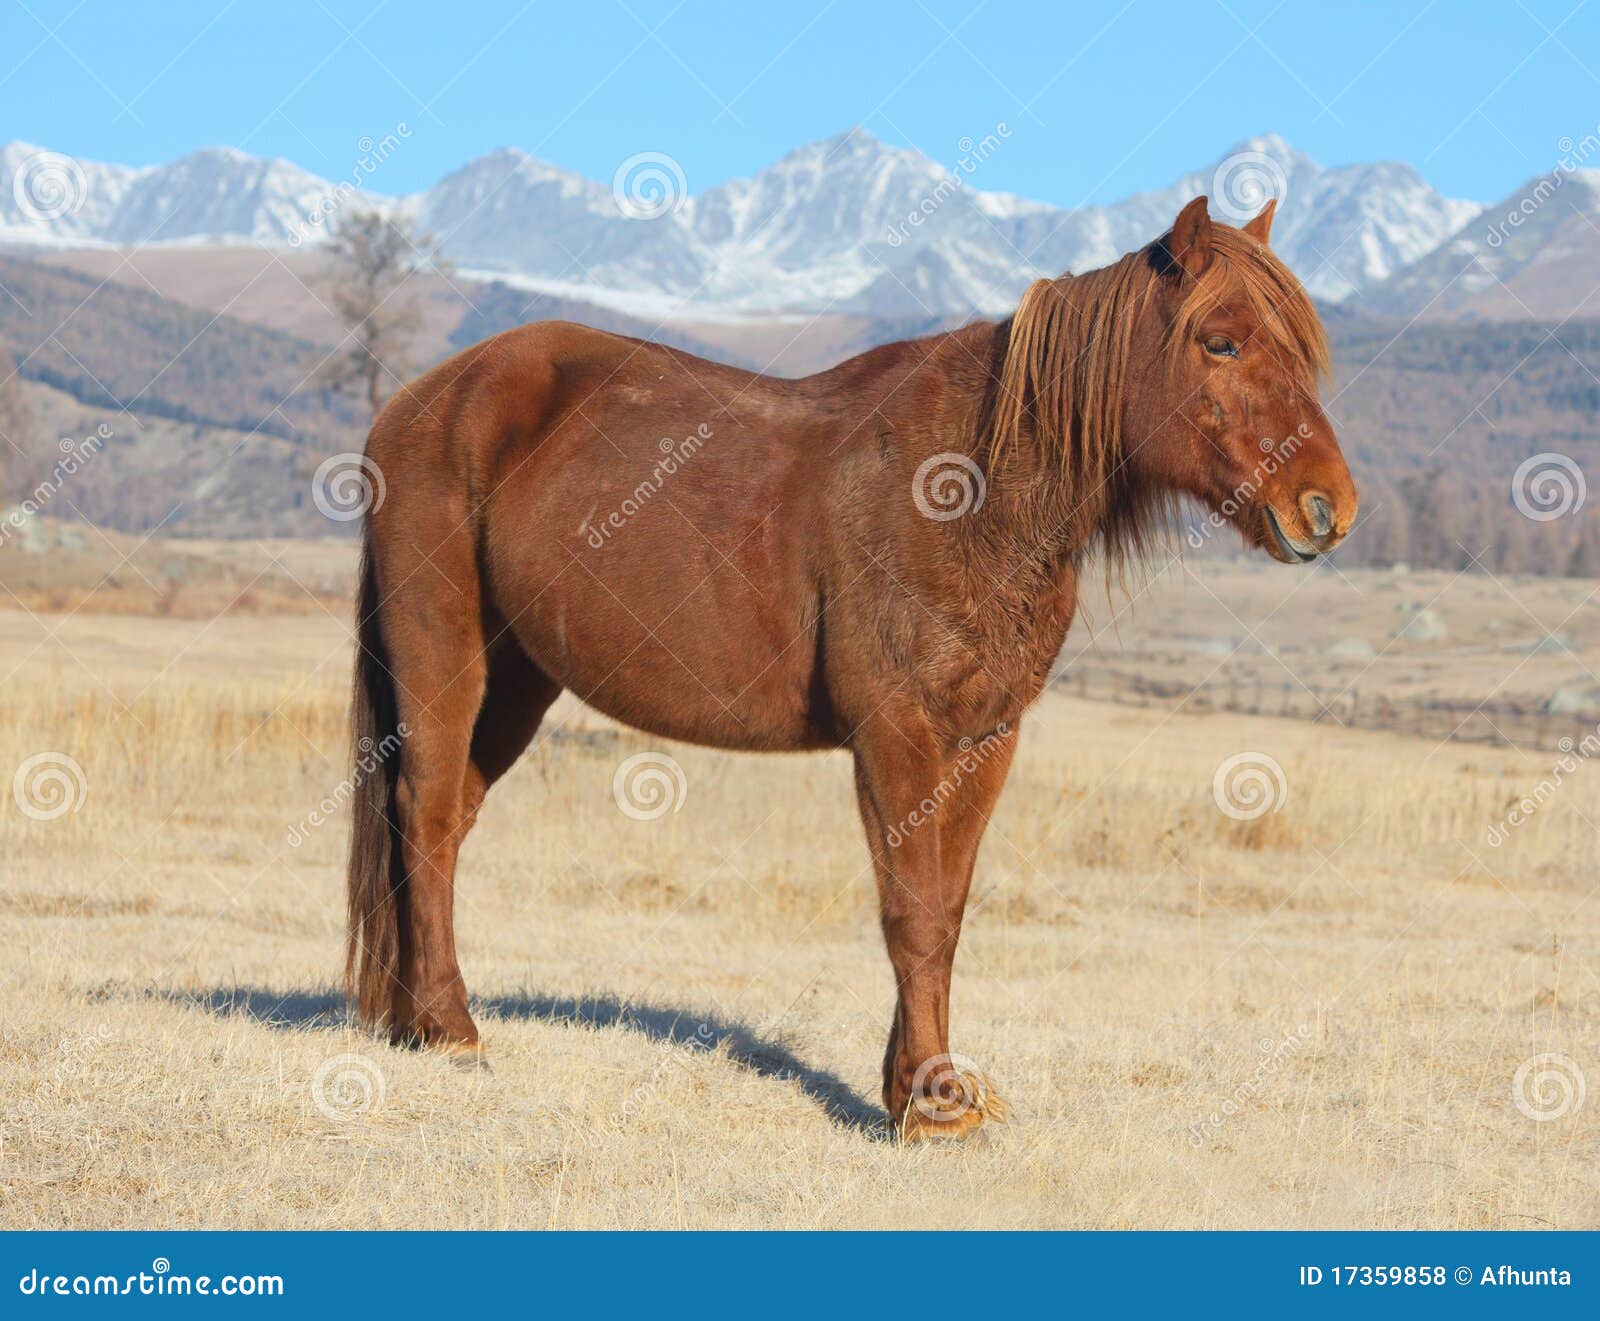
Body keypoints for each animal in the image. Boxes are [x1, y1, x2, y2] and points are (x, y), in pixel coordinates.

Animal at [345, 195, 1357, 1142]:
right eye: (1221, 341)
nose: (1329, 508)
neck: (968, 488)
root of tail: (419, 399)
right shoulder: (894, 735)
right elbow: (910, 913)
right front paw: (933, 1102)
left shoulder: (985, 739)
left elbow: (946, 911)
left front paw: (917, 1084)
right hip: (447, 655)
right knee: (424, 813)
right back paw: (453, 1030)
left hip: (519, 678)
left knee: (446, 820)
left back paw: (411, 1019)